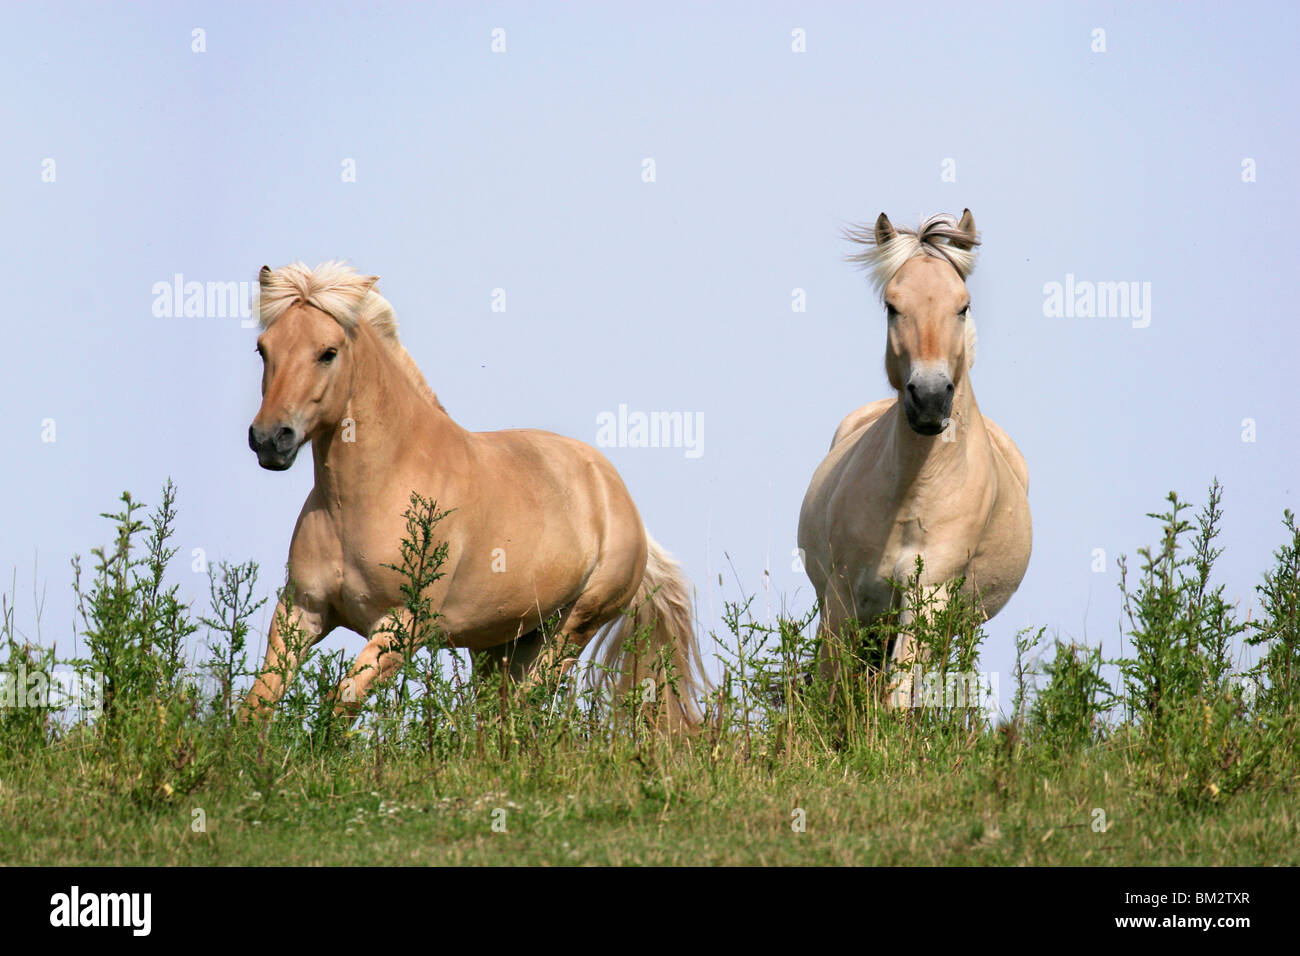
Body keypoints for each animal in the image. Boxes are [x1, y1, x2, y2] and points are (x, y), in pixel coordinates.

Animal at [242, 261, 705, 729]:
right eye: (263, 349)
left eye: (328, 352)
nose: (270, 439)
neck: (365, 498)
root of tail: (619, 497)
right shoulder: (302, 611)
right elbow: (256, 706)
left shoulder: (401, 626)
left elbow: (340, 709)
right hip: (499, 644)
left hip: (568, 632)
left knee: (525, 710)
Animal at [797, 211, 1031, 706]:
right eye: (892, 306)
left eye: (963, 306)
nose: (929, 398)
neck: (913, 493)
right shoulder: (842, 596)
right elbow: (832, 690)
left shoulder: (929, 594)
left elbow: (897, 696)